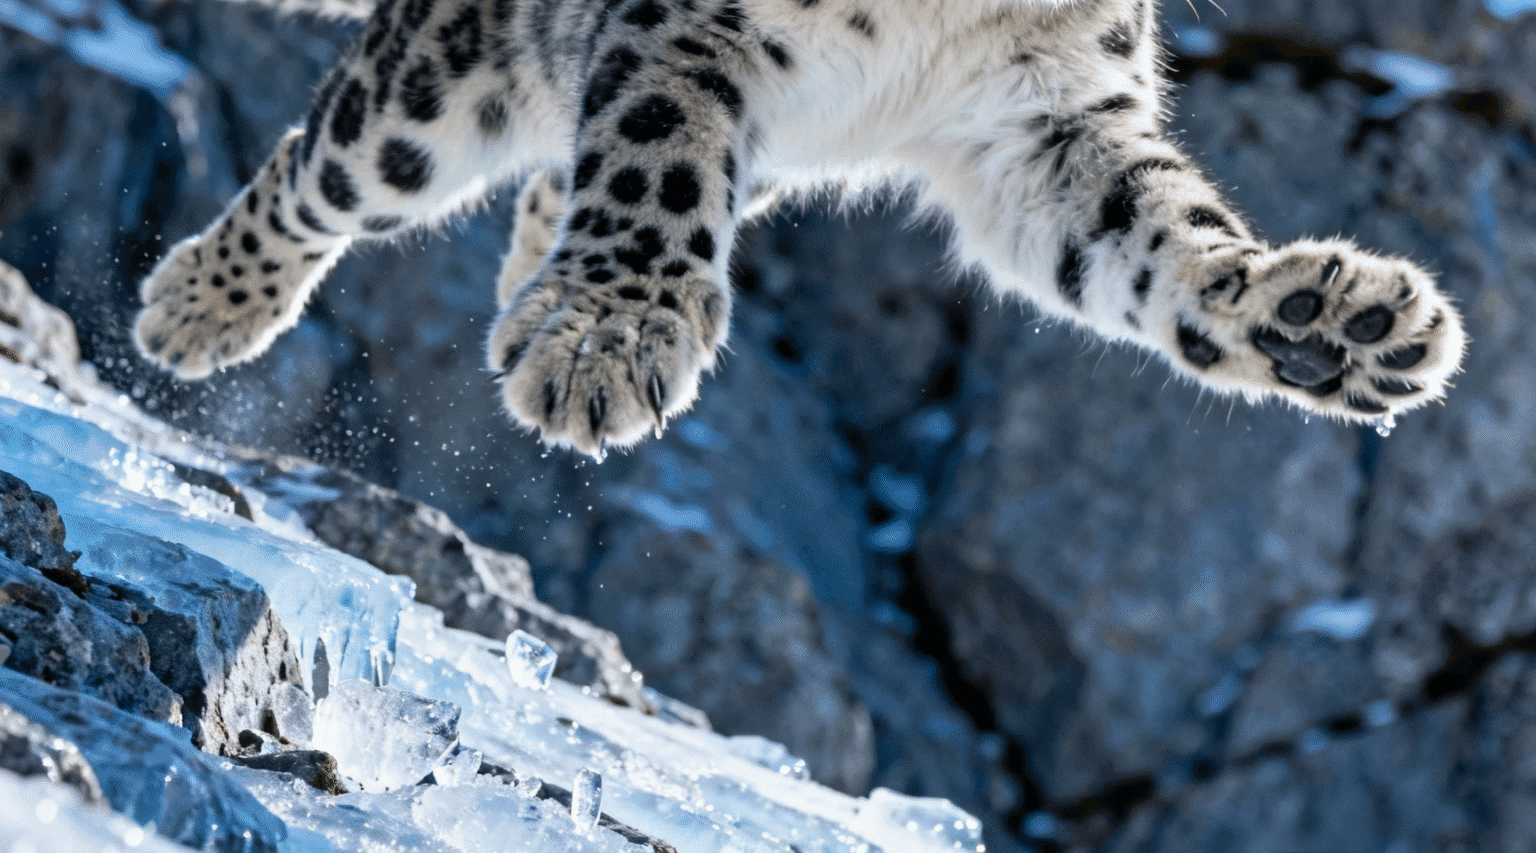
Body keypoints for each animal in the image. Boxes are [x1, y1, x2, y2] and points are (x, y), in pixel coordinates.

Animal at [134, 0, 1467, 459]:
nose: (1339, 329)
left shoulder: (1047, 125)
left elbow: (1160, 233)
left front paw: (1327, 323)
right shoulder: (688, 29)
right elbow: (659, 152)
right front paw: (608, 339)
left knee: (552, 176)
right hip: (434, 88)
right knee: (325, 159)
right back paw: (198, 308)